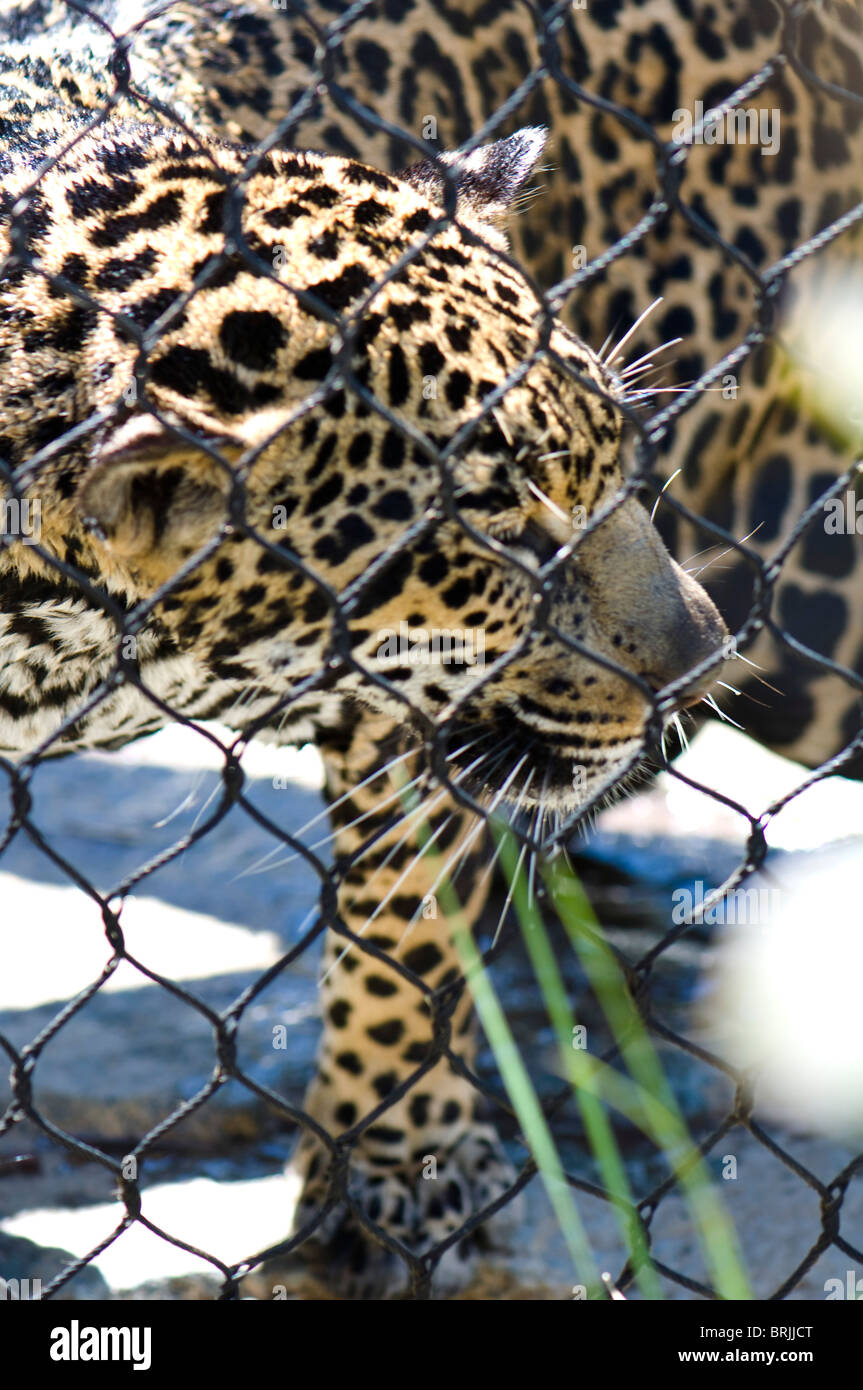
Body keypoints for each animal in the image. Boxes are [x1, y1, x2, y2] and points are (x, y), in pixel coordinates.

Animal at [0, 0, 859, 1298]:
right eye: (499, 530)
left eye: (622, 458)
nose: (699, 661)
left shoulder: (414, 709)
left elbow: (402, 925)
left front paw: (392, 1177)